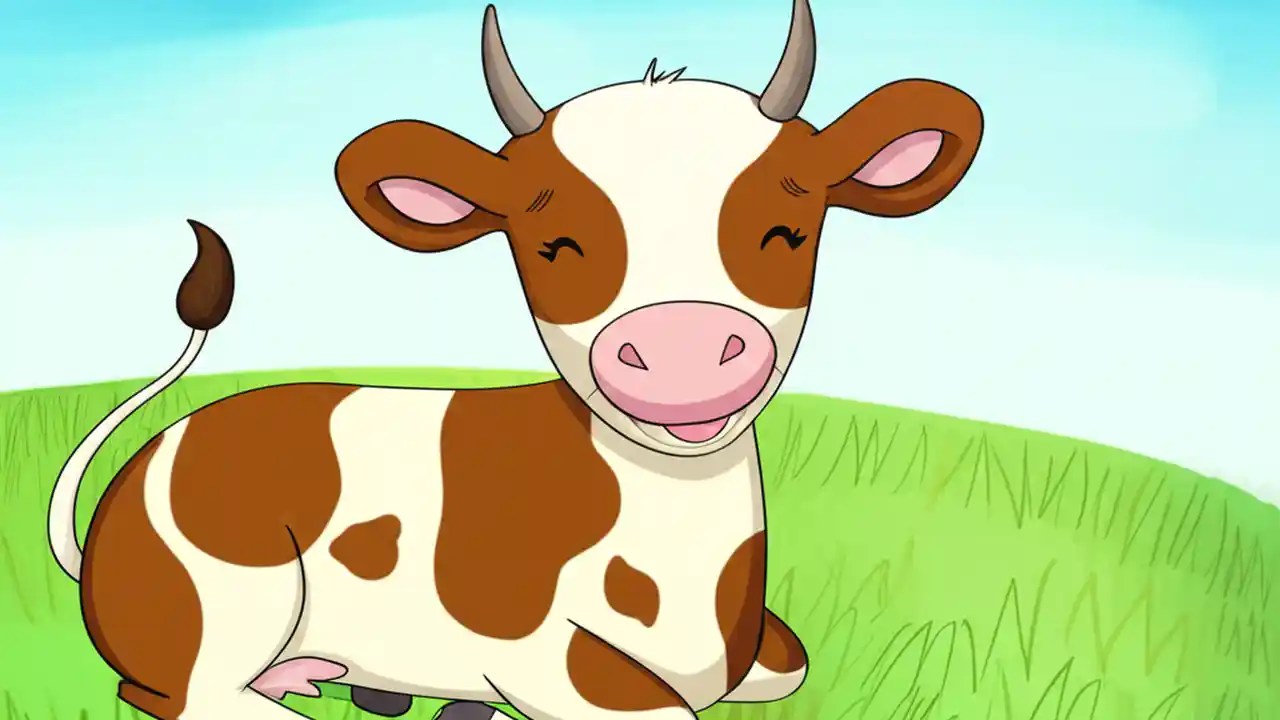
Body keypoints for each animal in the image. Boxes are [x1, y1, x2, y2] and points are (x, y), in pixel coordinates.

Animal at [45, 1, 982, 718]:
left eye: (785, 231)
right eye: (555, 245)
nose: (682, 348)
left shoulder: (758, 646)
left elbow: (789, 665)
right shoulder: (534, 648)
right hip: (231, 585)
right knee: (183, 695)